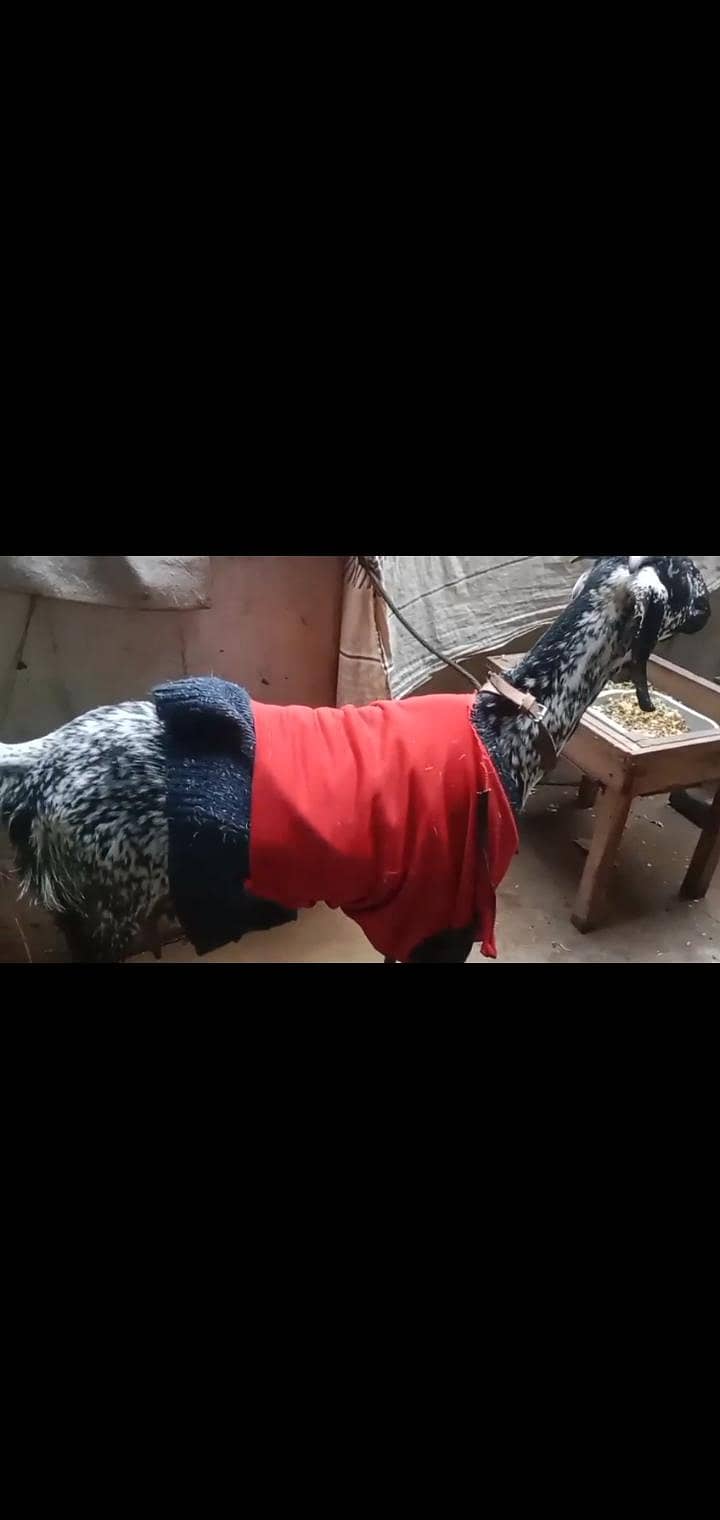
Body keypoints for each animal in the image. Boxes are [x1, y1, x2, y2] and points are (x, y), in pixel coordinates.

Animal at [0, 555, 711, 964]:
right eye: (687, 576)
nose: (708, 606)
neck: (509, 723)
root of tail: (41, 763)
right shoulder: (447, 919)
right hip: (107, 911)